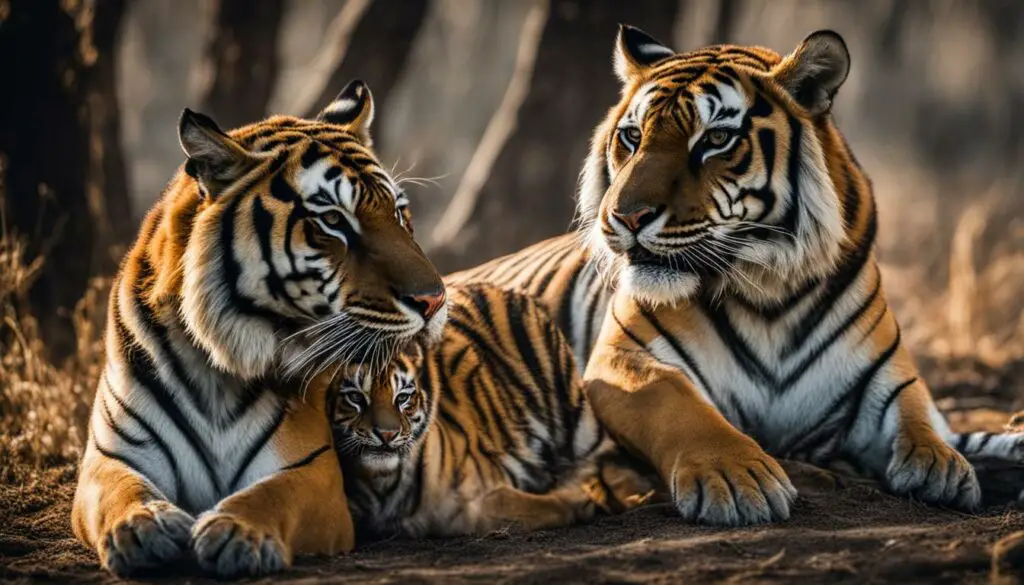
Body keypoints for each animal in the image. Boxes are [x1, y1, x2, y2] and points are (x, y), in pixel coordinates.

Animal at [71, 80, 449, 578]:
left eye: (400, 213)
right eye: (333, 220)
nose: (434, 300)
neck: (213, 364)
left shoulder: (312, 468)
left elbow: (270, 496)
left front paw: (235, 532)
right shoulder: (110, 456)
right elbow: (121, 492)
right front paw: (142, 526)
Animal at [327, 283, 654, 538]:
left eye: (403, 398)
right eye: (355, 397)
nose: (387, 434)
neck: (381, 486)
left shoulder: (477, 494)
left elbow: (544, 506)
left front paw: (578, 502)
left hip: (578, 422)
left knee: (612, 460)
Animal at [450, 26, 1024, 525]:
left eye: (716, 139)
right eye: (631, 137)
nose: (626, 217)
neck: (770, 288)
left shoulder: (883, 379)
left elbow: (918, 417)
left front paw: (941, 466)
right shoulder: (623, 361)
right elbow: (677, 403)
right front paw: (737, 477)